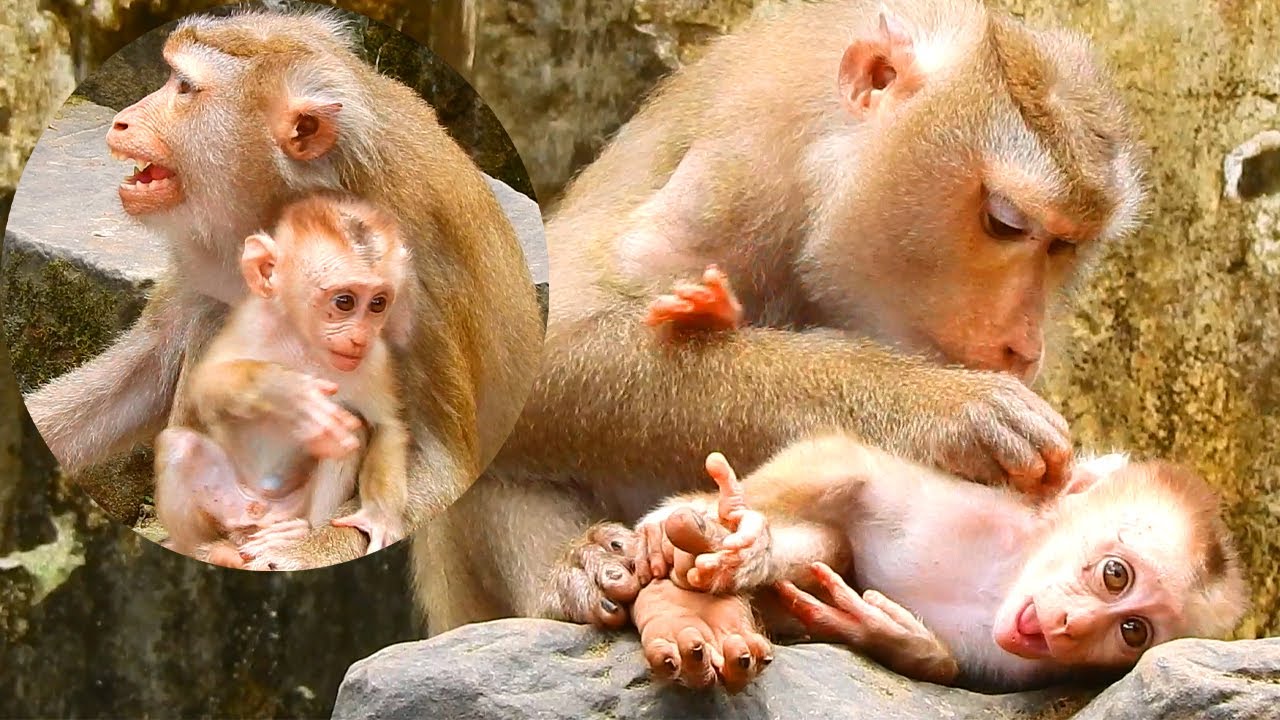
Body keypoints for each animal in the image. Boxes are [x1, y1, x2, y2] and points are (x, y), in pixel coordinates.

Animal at [154, 194, 412, 568]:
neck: (304, 343)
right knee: (181, 447)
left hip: (294, 506)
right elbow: (203, 386)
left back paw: (296, 532)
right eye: (345, 301)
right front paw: (287, 392)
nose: (360, 338)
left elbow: (386, 426)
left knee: (351, 429)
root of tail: (260, 515)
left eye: (378, 303)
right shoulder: (248, 324)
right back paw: (210, 549)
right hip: (228, 505)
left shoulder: (374, 361)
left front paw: (379, 517)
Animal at [415, 0, 1147, 634]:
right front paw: (952, 409)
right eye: (1005, 222)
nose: (1024, 346)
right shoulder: (744, 169)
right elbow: (544, 342)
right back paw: (582, 569)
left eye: (1066, 247)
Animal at [626, 439, 1248, 693]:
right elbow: (846, 469)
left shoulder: (1022, 666)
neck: (999, 582)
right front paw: (741, 537)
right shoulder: (966, 506)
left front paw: (892, 635)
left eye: (1132, 632)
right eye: (1116, 575)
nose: (1073, 626)